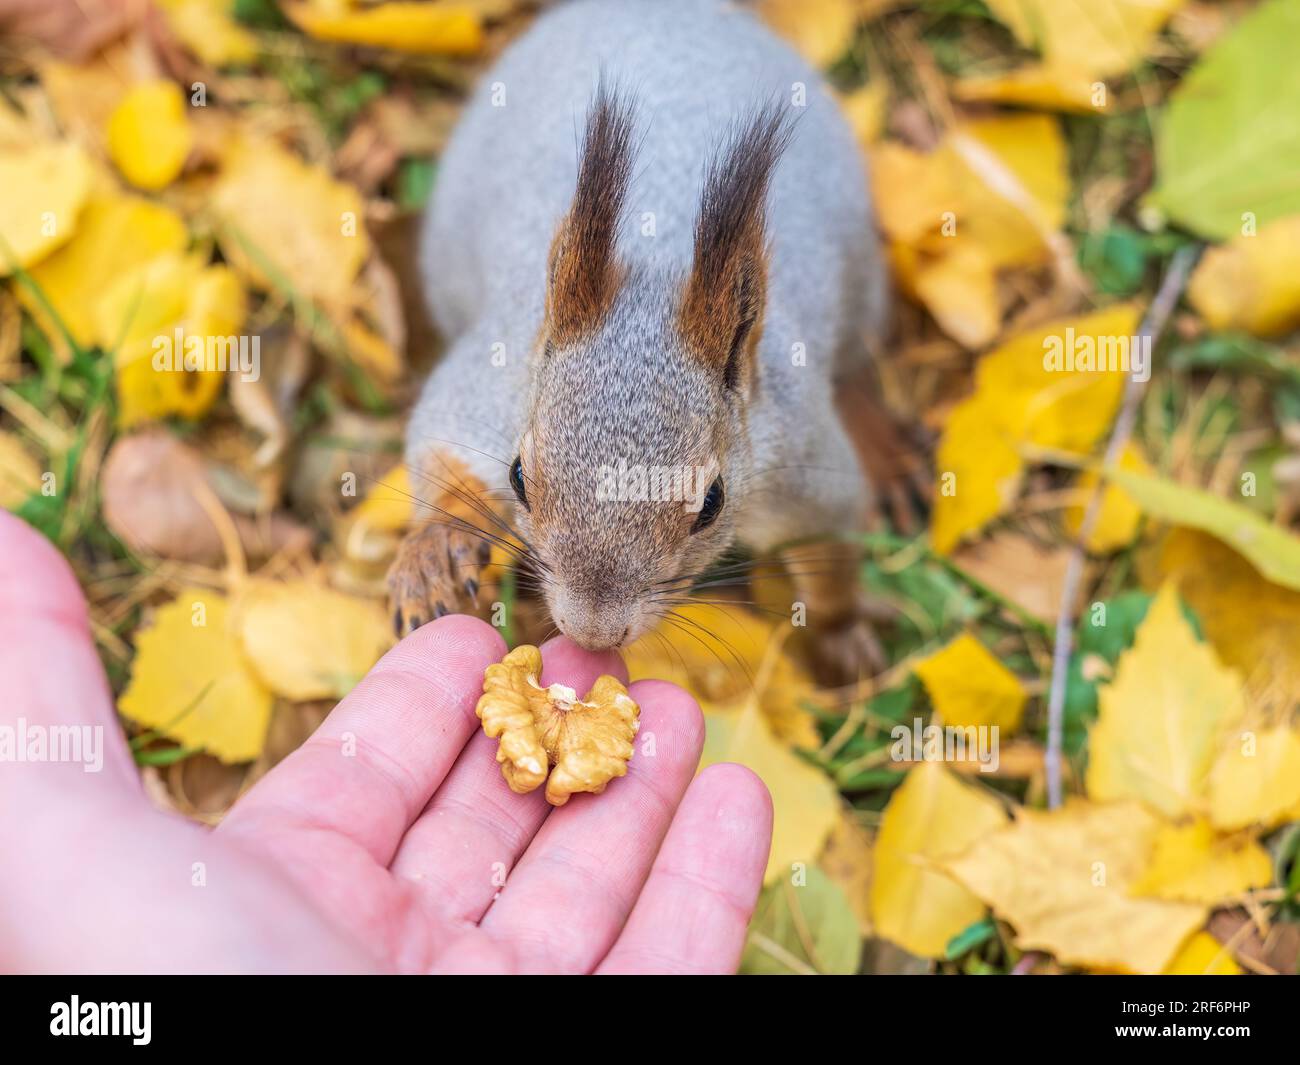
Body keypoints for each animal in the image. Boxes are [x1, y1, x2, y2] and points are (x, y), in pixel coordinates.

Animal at [388, 0, 890, 683]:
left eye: (712, 502)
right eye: (518, 476)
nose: (592, 631)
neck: (656, 263)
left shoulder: (804, 461)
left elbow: (834, 548)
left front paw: (841, 640)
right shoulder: (490, 380)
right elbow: (439, 442)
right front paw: (434, 552)